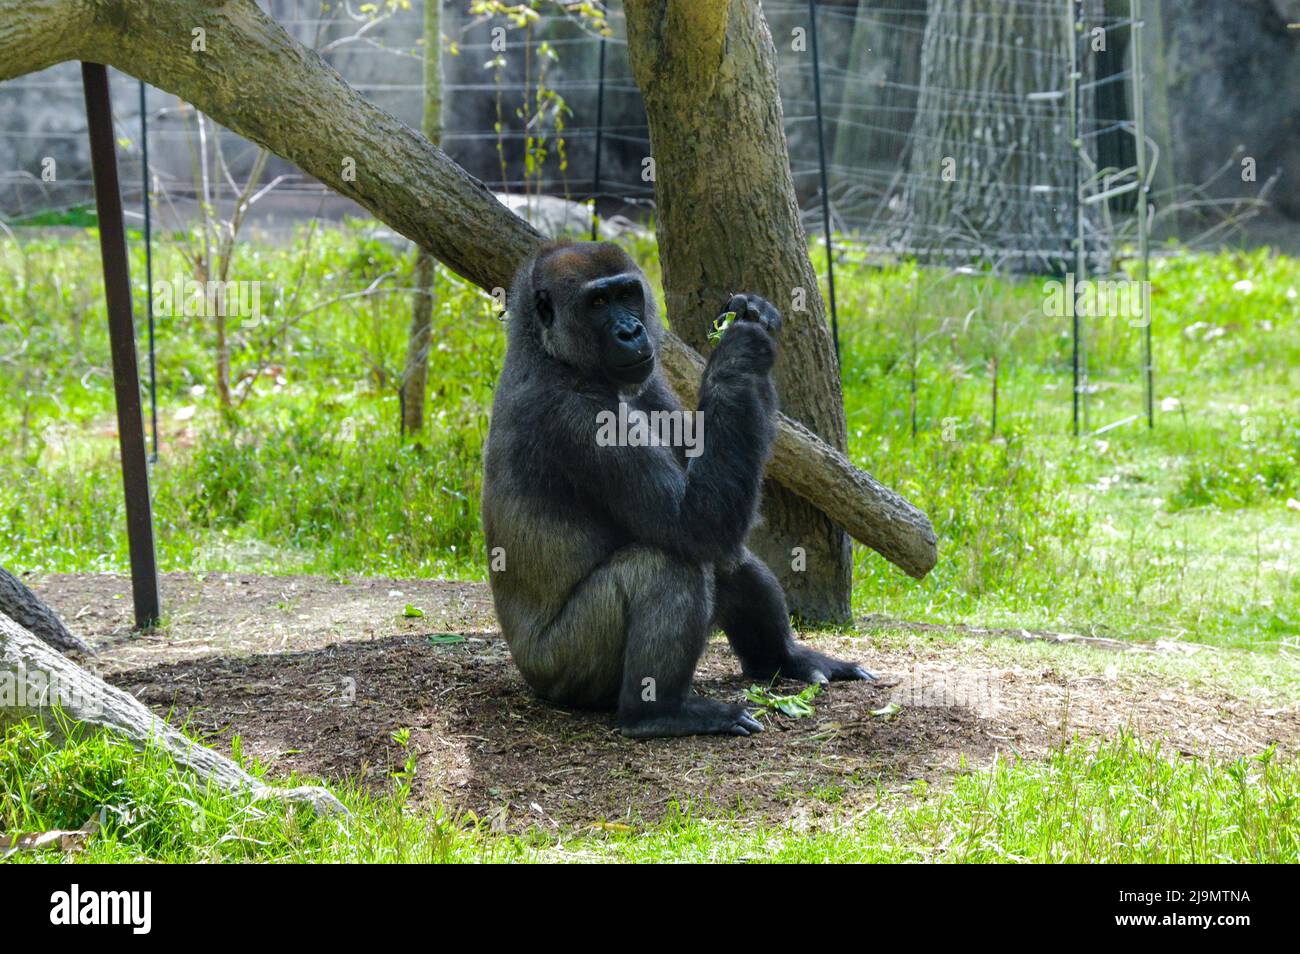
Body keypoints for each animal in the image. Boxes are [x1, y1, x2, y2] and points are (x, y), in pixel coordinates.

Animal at [481, 241, 873, 739]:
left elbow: (719, 488)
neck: (548, 350)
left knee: (725, 553)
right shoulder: (573, 416)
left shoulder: (651, 382)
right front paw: (738, 356)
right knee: (667, 562)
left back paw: (783, 660)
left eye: (628, 294)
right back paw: (657, 712)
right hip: (562, 670)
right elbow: (695, 522)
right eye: (597, 303)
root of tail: (529, 675)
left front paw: (751, 318)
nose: (631, 331)